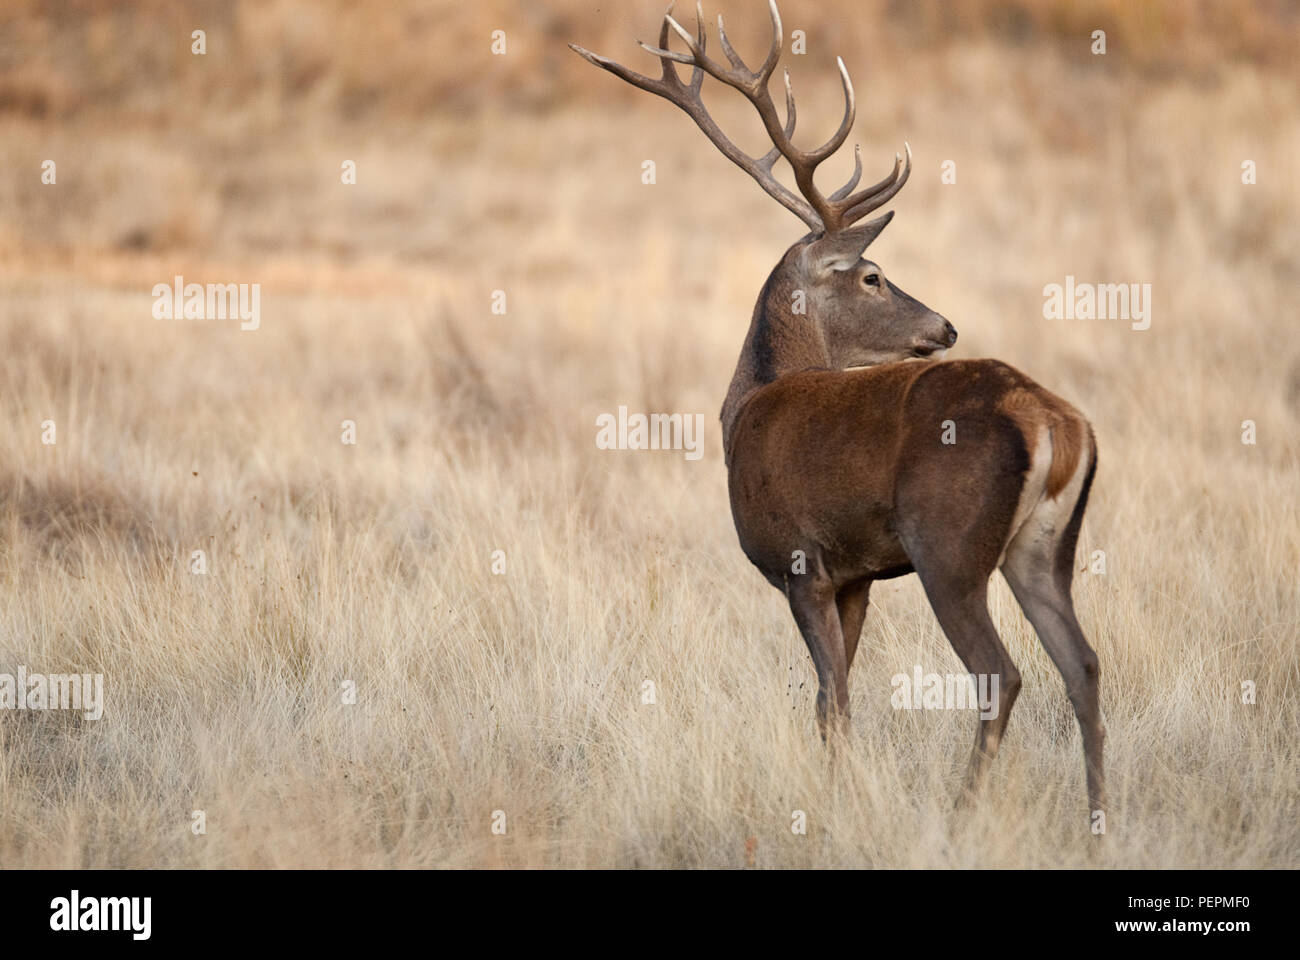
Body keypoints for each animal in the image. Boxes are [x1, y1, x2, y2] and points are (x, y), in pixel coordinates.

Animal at [571, 0, 1105, 821]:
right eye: (874, 277)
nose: (946, 326)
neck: (746, 411)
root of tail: (1057, 424)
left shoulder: (803, 561)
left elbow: (832, 699)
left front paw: (830, 802)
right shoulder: (856, 577)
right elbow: (836, 695)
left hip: (947, 545)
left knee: (1001, 672)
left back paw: (963, 810)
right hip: (1044, 548)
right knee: (1084, 665)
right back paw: (1100, 816)